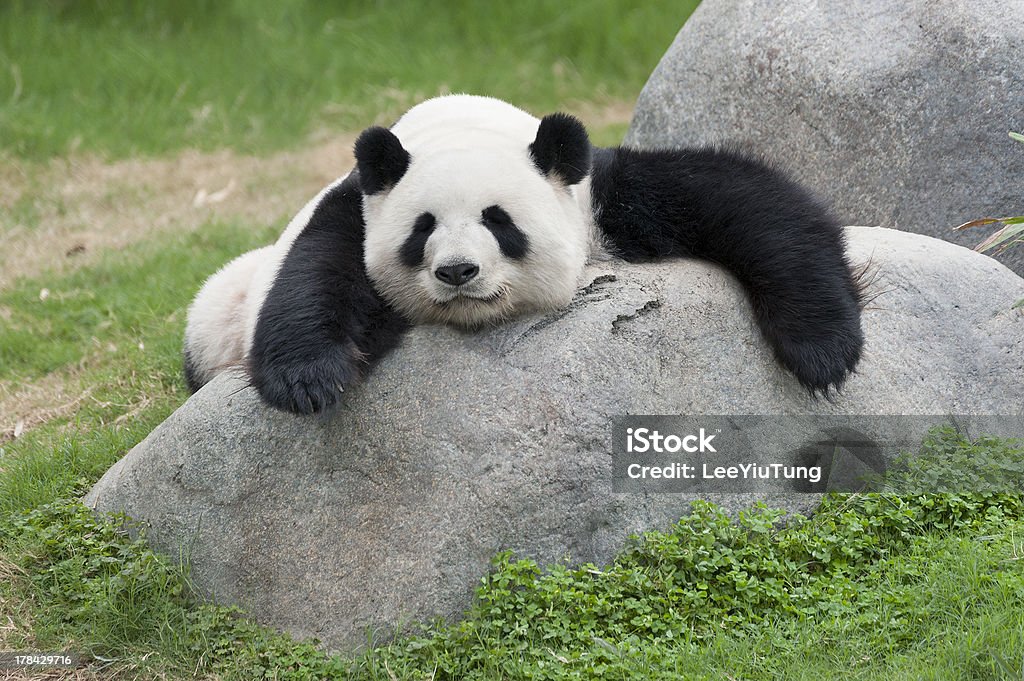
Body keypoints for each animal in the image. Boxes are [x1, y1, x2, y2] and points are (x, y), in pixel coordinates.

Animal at [184, 94, 863, 415]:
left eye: (499, 221)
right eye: (423, 229)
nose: (458, 271)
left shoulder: (600, 196)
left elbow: (745, 201)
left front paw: (822, 350)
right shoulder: (356, 206)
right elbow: (316, 272)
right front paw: (309, 379)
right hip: (218, 315)